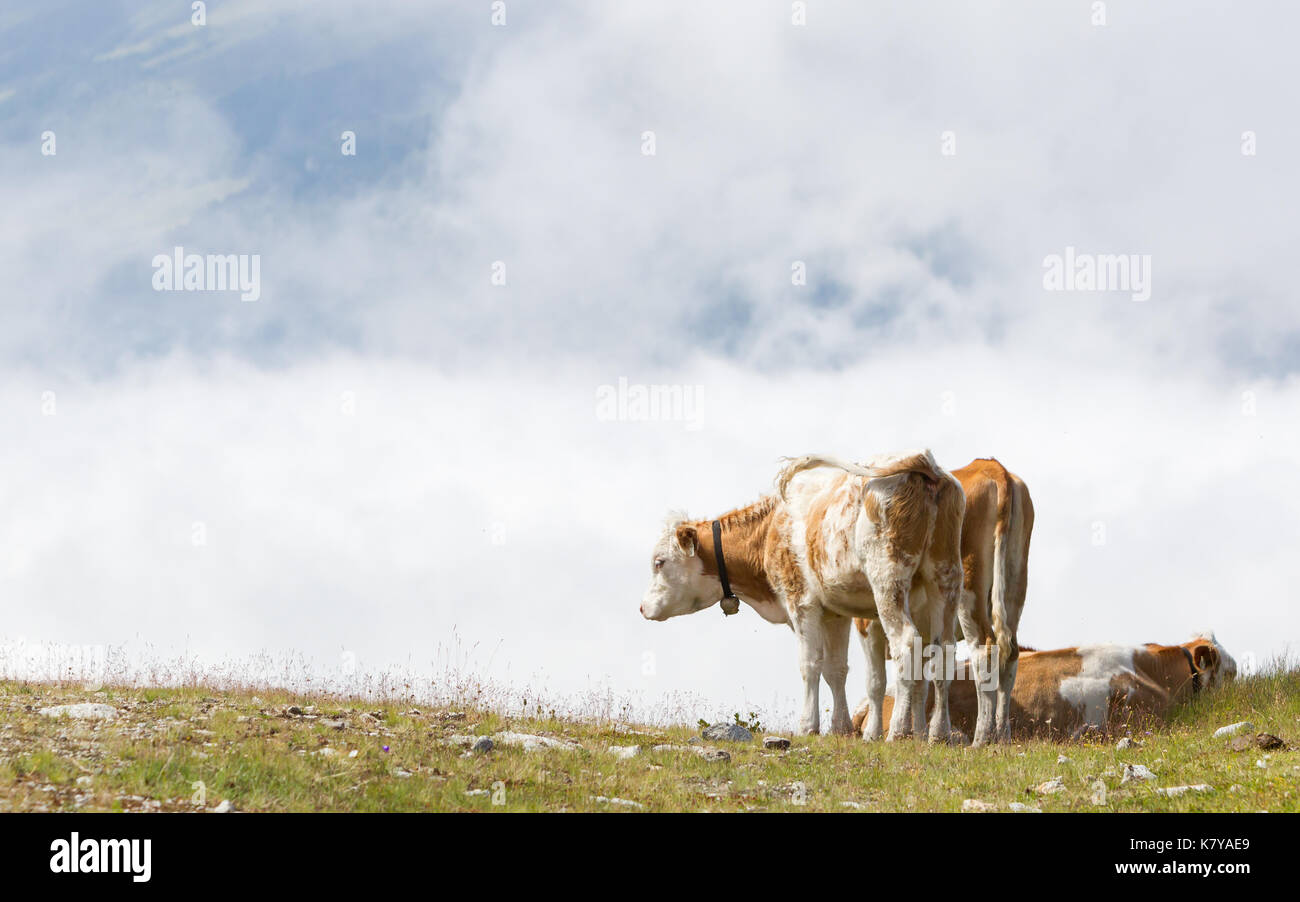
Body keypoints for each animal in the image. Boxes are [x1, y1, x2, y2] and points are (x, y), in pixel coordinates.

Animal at [640, 450, 965, 741]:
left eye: (659, 562)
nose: (643, 607)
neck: (770, 529)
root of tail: (926, 462)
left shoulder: (802, 603)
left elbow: (810, 665)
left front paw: (809, 726)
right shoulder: (836, 613)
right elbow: (836, 669)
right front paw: (841, 729)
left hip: (887, 578)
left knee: (906, 643)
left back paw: (898, 731)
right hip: (945, 578)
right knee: (944, 652)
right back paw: (938, 732)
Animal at [855, 457, 1033, 745]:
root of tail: (993, 468)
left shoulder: (867, 623)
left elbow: (876, 681)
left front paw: (874, 734)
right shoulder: (924, 630)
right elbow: (919, 682)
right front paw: (917, 734)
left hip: (967, 589)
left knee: (985, 649)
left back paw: (980, 738)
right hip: (1014, 584)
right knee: (1010, 654)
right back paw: (1002, 736)